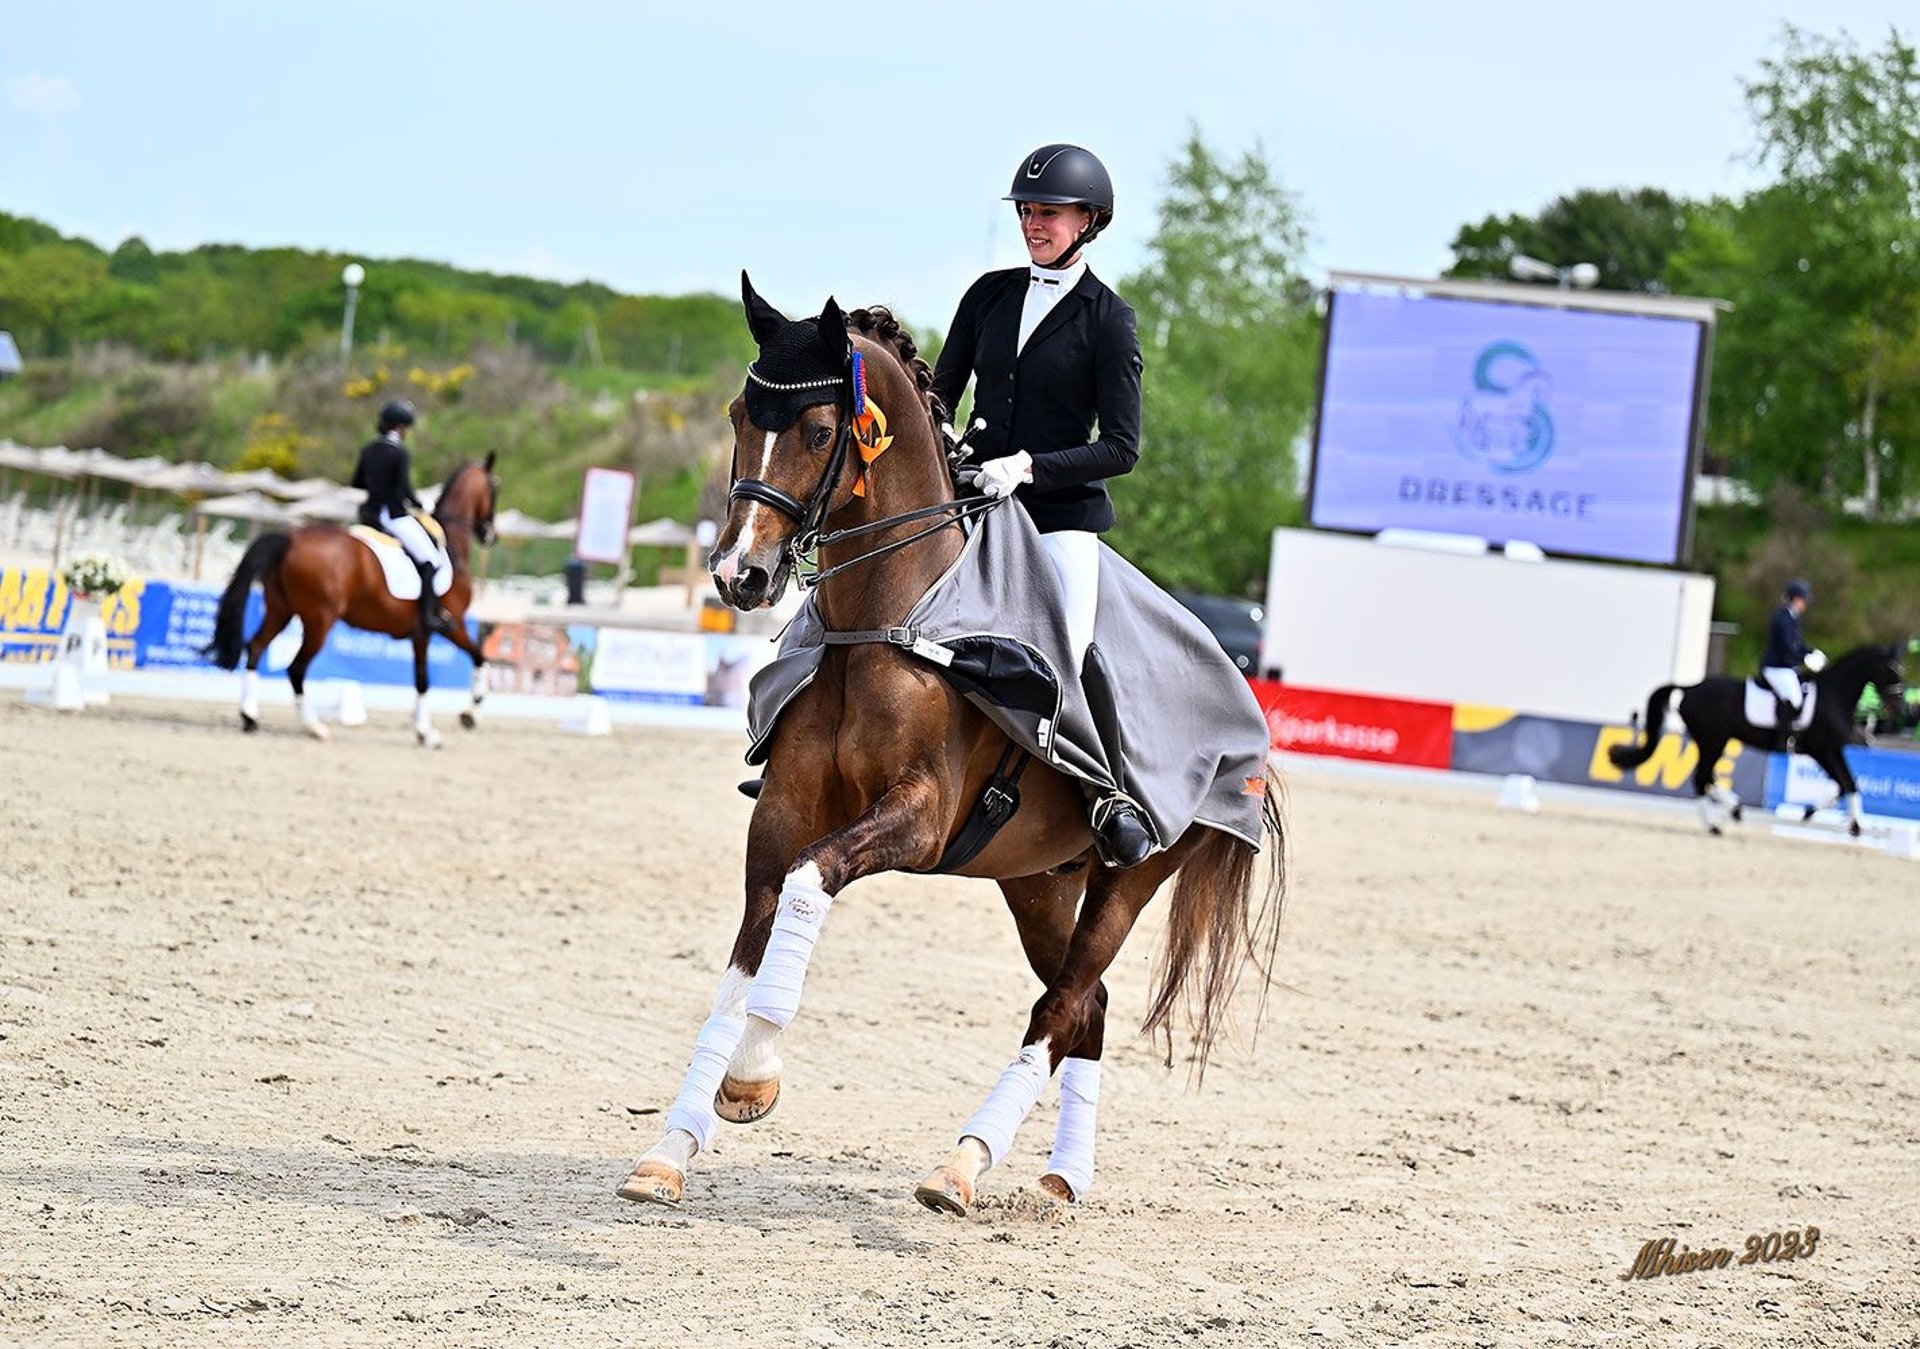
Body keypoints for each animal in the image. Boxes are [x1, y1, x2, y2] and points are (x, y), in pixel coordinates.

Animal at [202, 455, 498, 748]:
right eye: (494, 490)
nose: (490, 535)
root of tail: (291, 537)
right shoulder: (447, 625)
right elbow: (466, 663)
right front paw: (458, 719)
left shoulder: (423, 632)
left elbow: (431, 675)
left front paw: (429, 728)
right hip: (319, 621)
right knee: (296, 668)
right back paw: (314, 727)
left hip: (280, 610)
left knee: (255, 648)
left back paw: (250, 716)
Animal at [617, 283, 1286, 1217]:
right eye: (738, 416)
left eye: (818, 431)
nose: (738, 576)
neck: (888, 621)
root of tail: (1243, 700)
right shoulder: (782, 810)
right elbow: (744, 956)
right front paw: (671, 1148)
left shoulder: (920, 817)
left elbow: (810, 883)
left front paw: (752, 1080)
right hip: (1038, 880)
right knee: (1089, 1004)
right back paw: (1058, 1178)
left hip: (1134, 873)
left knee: (1063, 1005)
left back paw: (962, 1165)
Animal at [1607, 642, 1907, 836]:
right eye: (1893, 669)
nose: (1900, 707)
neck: (1833, 697)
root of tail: (1690, 688)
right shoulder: (1821, 750)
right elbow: (1845, 783)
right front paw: (1844, 821)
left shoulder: (1832, 750)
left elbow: (1848, 783)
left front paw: (1818, 814)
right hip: (1713, 739)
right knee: (1702, 778)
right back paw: (1719, 821)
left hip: (1712, 740)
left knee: (1708, 777)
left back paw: (1730, 811)